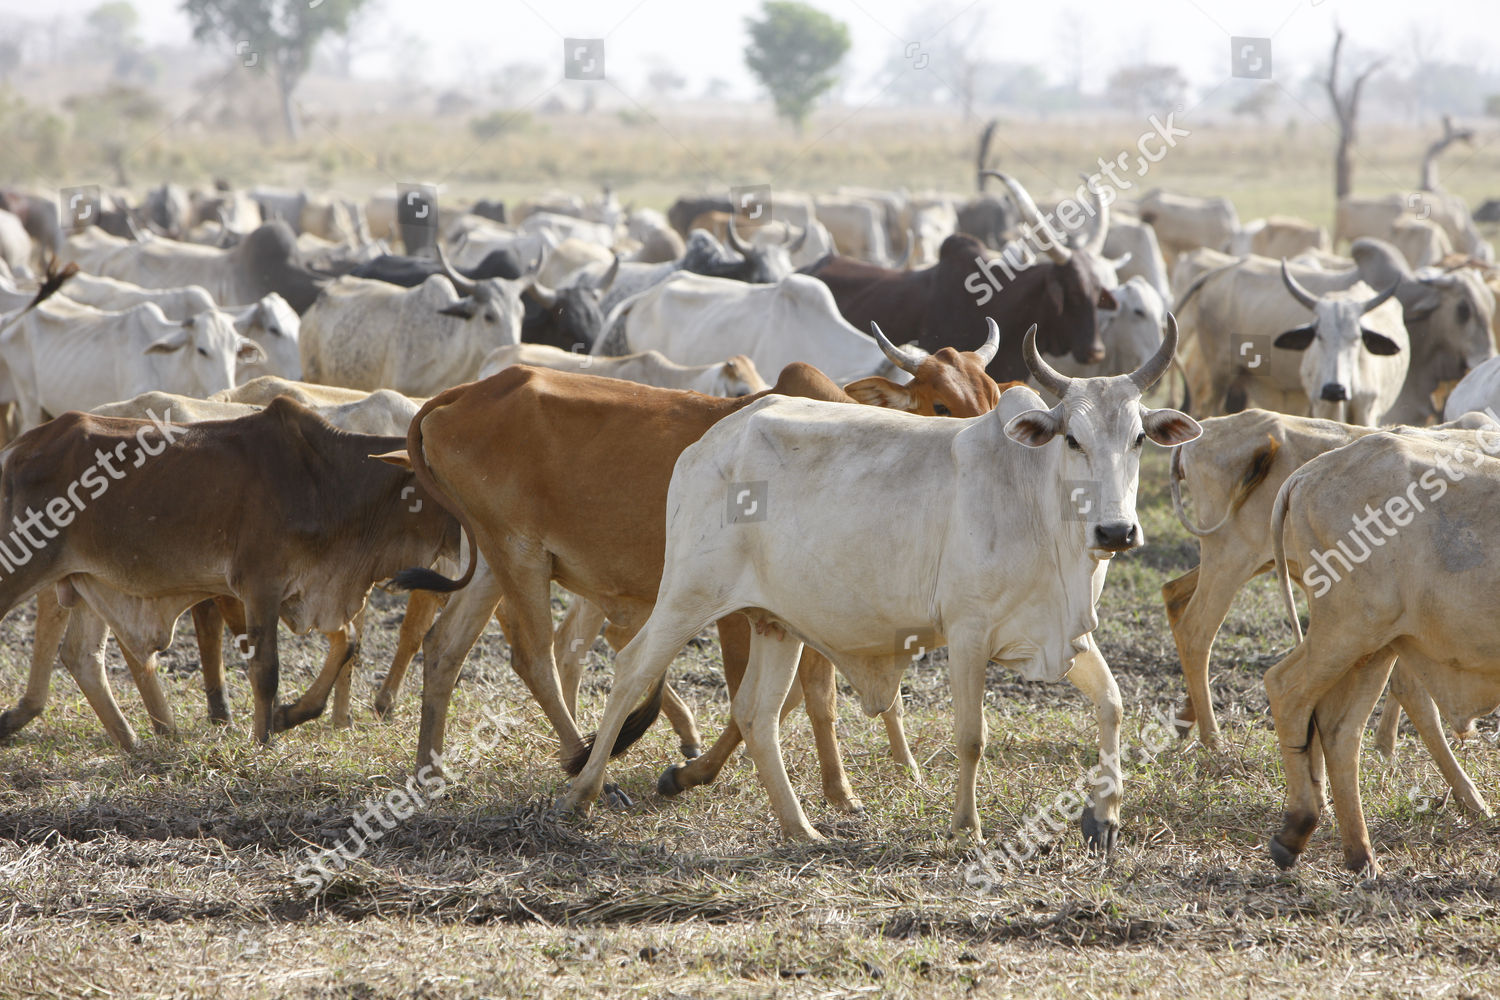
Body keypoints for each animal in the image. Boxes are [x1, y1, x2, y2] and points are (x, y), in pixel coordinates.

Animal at [556, 324, 1198, 843]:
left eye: (1139, 437)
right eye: (1072, 438)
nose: (1117, 531)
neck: (1035, 499)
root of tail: (707, 443)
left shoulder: (1063, 633)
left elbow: (1112, 704)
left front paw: (1105, 816)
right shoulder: (968, 634)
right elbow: (972, 735)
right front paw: (966, 826)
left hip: (774, 623)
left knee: (757, 715)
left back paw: (802, 828)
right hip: (688, 595)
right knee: (631, 668)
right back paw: (583, 792)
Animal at [1264, 425, 1500, 873]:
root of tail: (1306, 474)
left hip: (1376, 646)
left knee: (1341, 729)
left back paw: (1358, 853)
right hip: (1351, 628)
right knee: (1287, 688)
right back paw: (1299, 826)